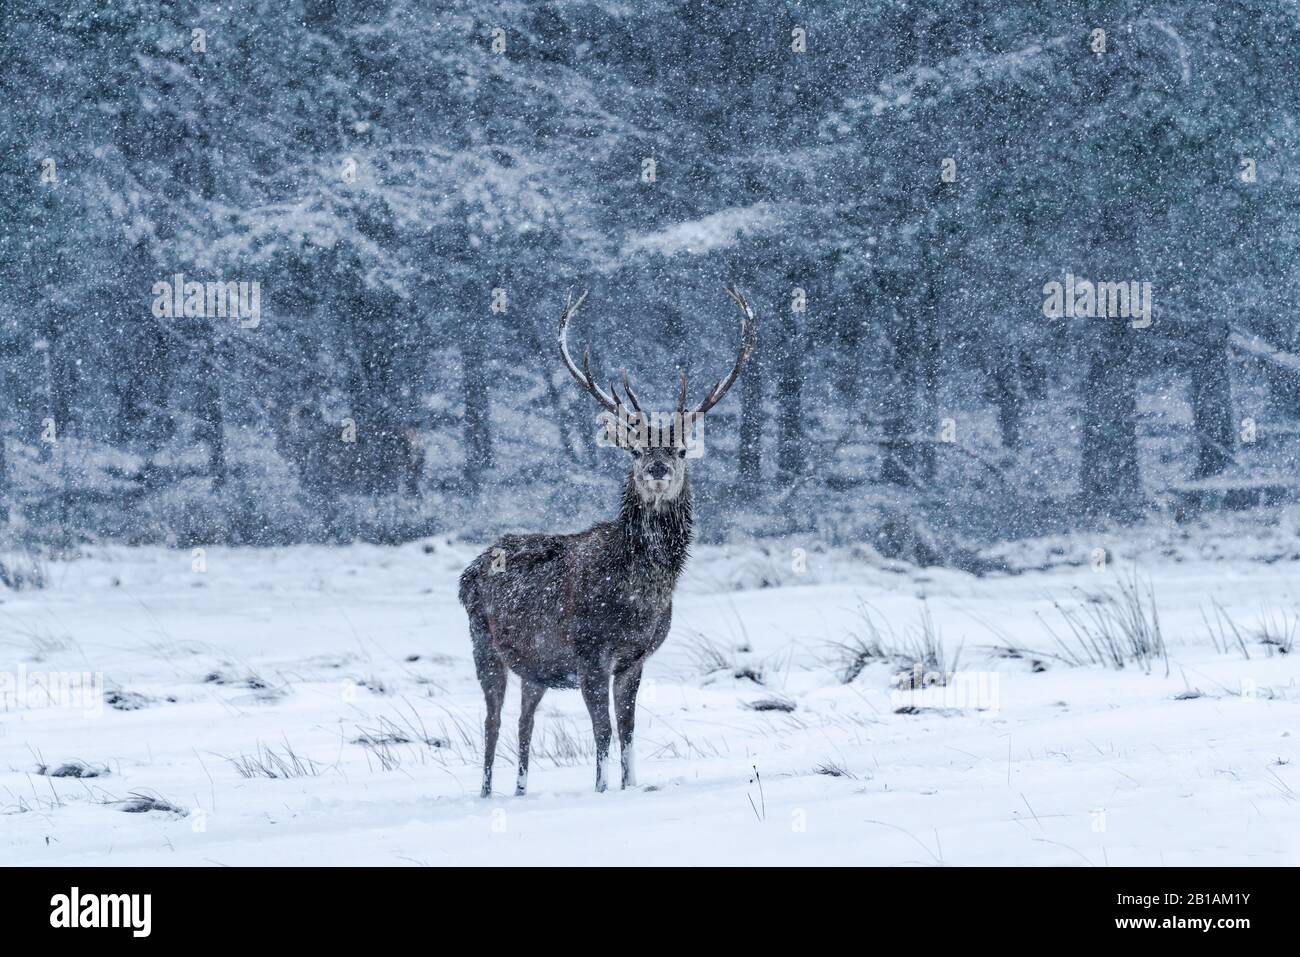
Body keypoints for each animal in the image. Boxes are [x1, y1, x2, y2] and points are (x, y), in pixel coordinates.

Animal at [458, 287, 756, 797]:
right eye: (635, 449)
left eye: (679, 448)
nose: (657, 468)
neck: (639, 594)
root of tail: (467, 571)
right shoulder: (590, 653)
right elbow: (603, 732)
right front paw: (600, 791)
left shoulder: (634, 659)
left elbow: (629, 732)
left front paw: (630, 785)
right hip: (484, 643)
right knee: (491, 721)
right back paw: (485, 792)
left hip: (535, 666)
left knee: (523, 721)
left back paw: (521, 790)